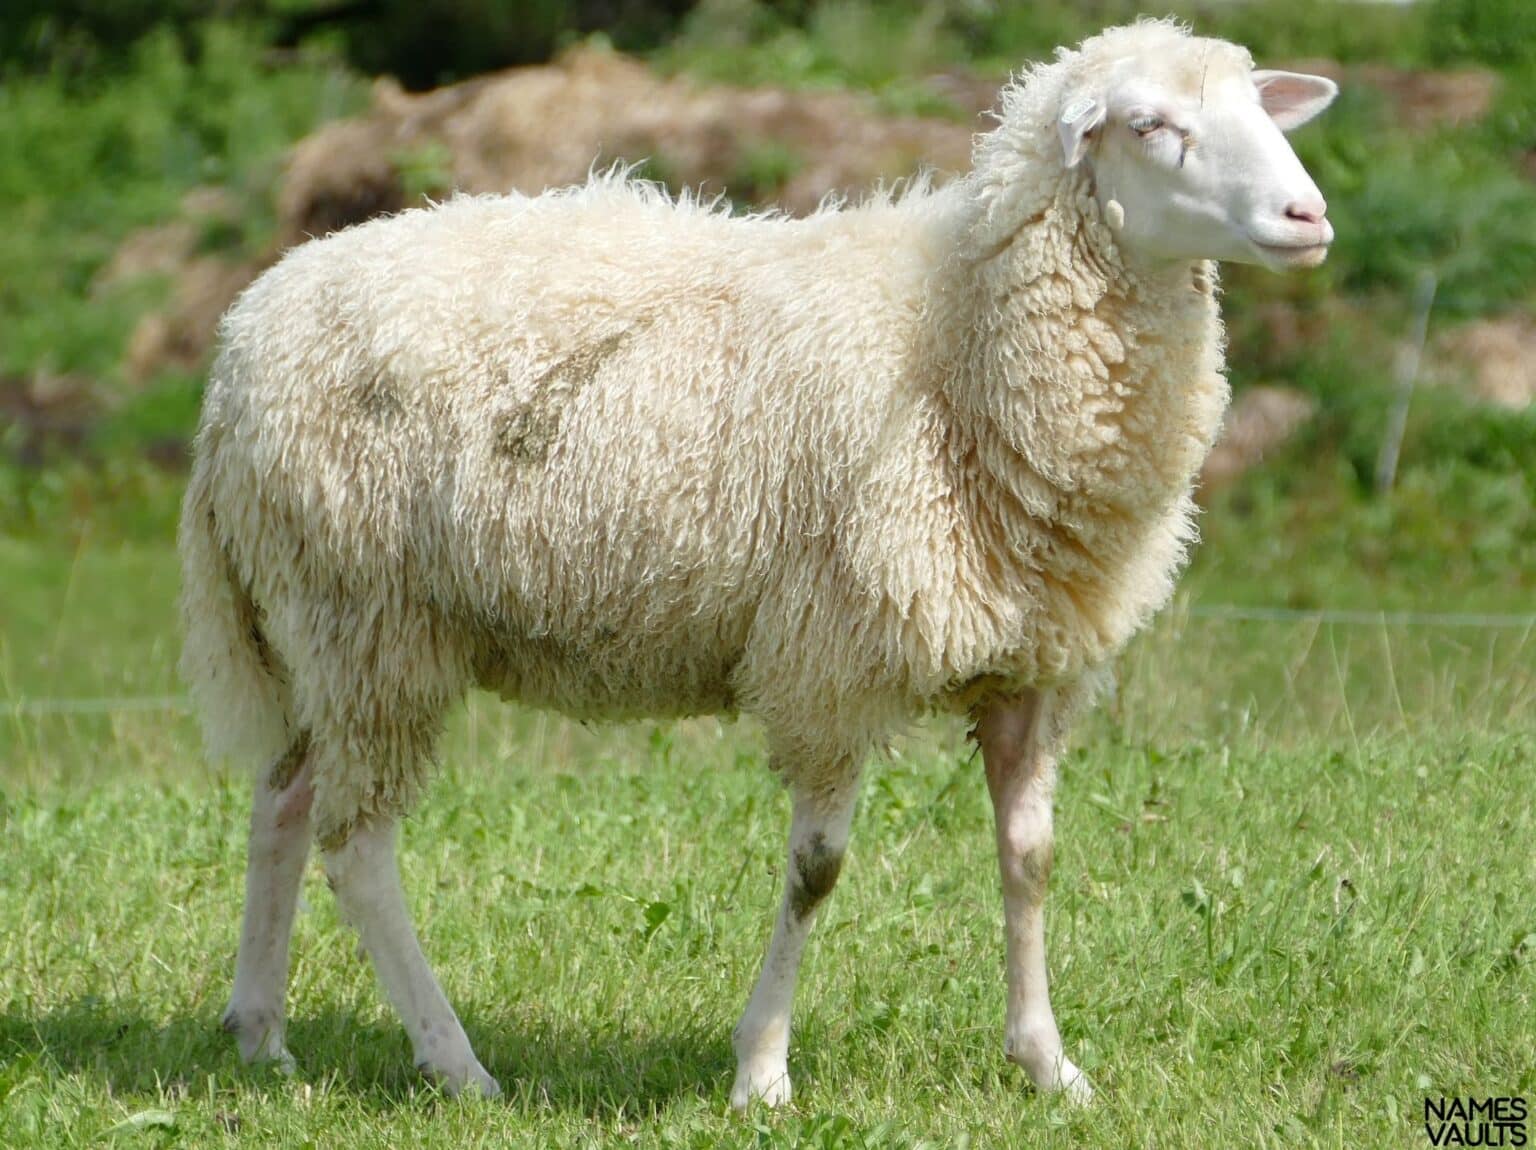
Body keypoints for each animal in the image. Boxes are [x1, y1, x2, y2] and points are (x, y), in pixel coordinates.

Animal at [180, 20, 1337, 1108]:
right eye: (1150, 125)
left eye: (1261, 108)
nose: (1308, 218)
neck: (956, 335)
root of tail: (242, 341)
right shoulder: (831, 660)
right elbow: (817, 873)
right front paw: (763, 1070)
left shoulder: (1033, 667)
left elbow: (1032, 859)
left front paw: (1049, 1065)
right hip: (369, 618)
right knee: (357, 848)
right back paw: (456, 1062)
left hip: (323, 626)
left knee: (283, 800)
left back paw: (261, 1034)